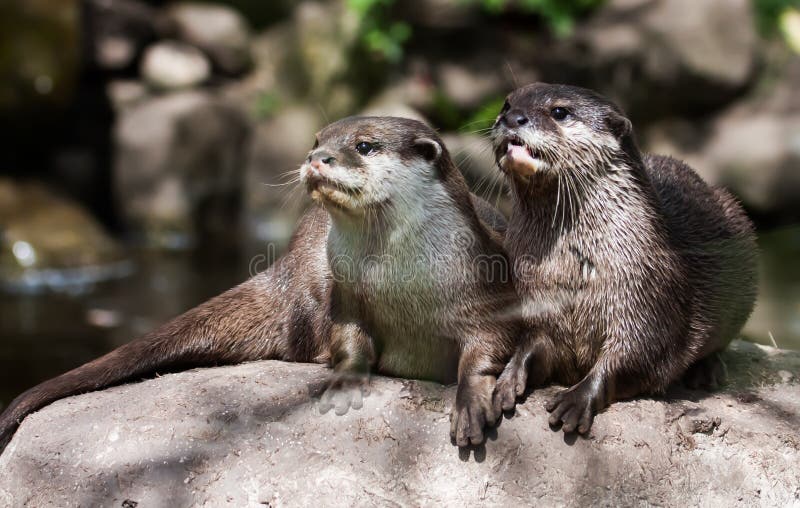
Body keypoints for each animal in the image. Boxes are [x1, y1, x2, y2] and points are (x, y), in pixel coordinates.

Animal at [0, 116, 521, 452]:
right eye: (317, 138)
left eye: (365, 146)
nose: (317, 157)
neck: (404, 285)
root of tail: (284, 270)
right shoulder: (348, 299)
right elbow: (350, 341)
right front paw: (345, 379)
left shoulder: (485, 292)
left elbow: (486, 349)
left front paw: (470, 402)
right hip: (311, 287)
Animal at [489, 83, 758, 434]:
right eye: (507, 104)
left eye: (560, 112)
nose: (513, 118)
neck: (574, 267)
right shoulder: (536, 299)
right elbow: (534, 342)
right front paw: (508, 377)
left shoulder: (648, 295)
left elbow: (634, 355)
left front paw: (577, 399)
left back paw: (707, 371)